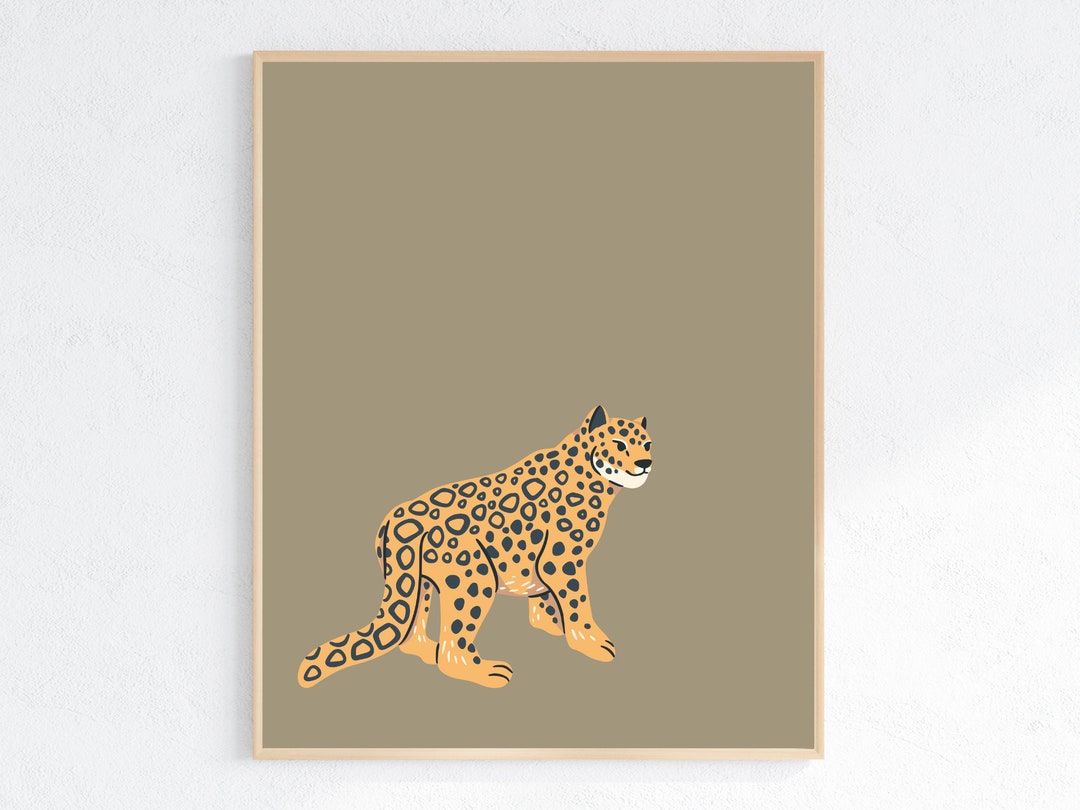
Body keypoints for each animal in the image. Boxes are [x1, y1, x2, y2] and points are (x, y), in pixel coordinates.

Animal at [297, 405, 652, 689]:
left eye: (647, 443)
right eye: (619, 443)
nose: (645, 463)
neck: (601, 484)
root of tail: (398, 518)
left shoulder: (544, 565)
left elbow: (546, 600)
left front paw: (555, 626)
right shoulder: (562, 560)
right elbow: (579, 601)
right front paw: (591, 641)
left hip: (418, 583)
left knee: (413, 630)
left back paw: (428, 649)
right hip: (474, 578)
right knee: (453, 646)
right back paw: (486, 671)